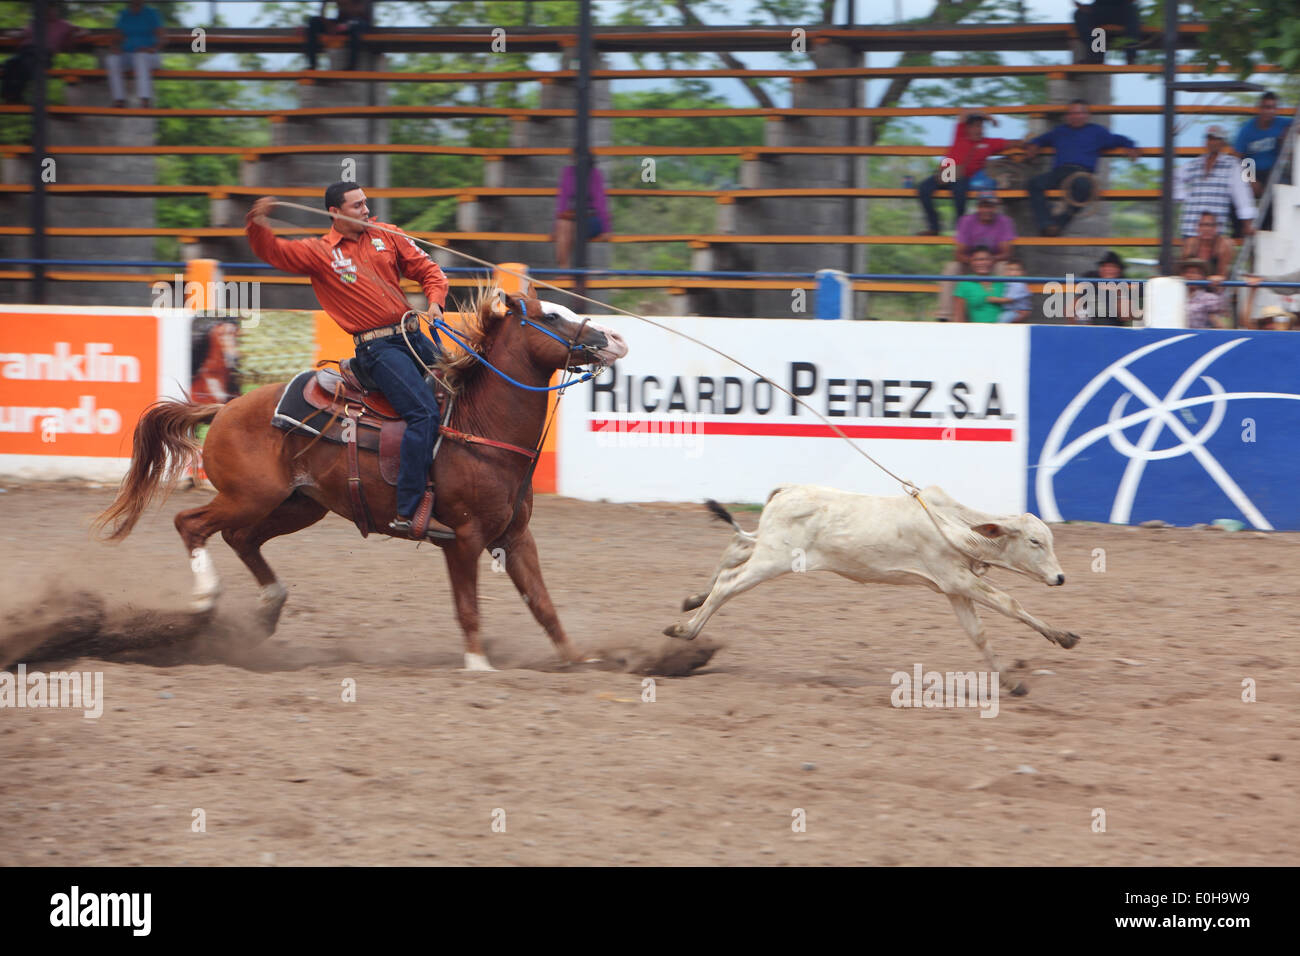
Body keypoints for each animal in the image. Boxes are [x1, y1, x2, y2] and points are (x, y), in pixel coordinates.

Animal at [663, 484, 1081, 695]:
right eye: (1034, 541)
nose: (1061, 578)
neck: (956, 525)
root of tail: (785, 491)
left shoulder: (954, 589)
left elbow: (978, 634)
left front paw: (1011, 681)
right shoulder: (958, 580)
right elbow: (1010, 603)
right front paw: (1064, 636)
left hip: (767, 551)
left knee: (734, 550)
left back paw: (692, 600)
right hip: (773, 560)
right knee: (728, 583)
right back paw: (685, 629)